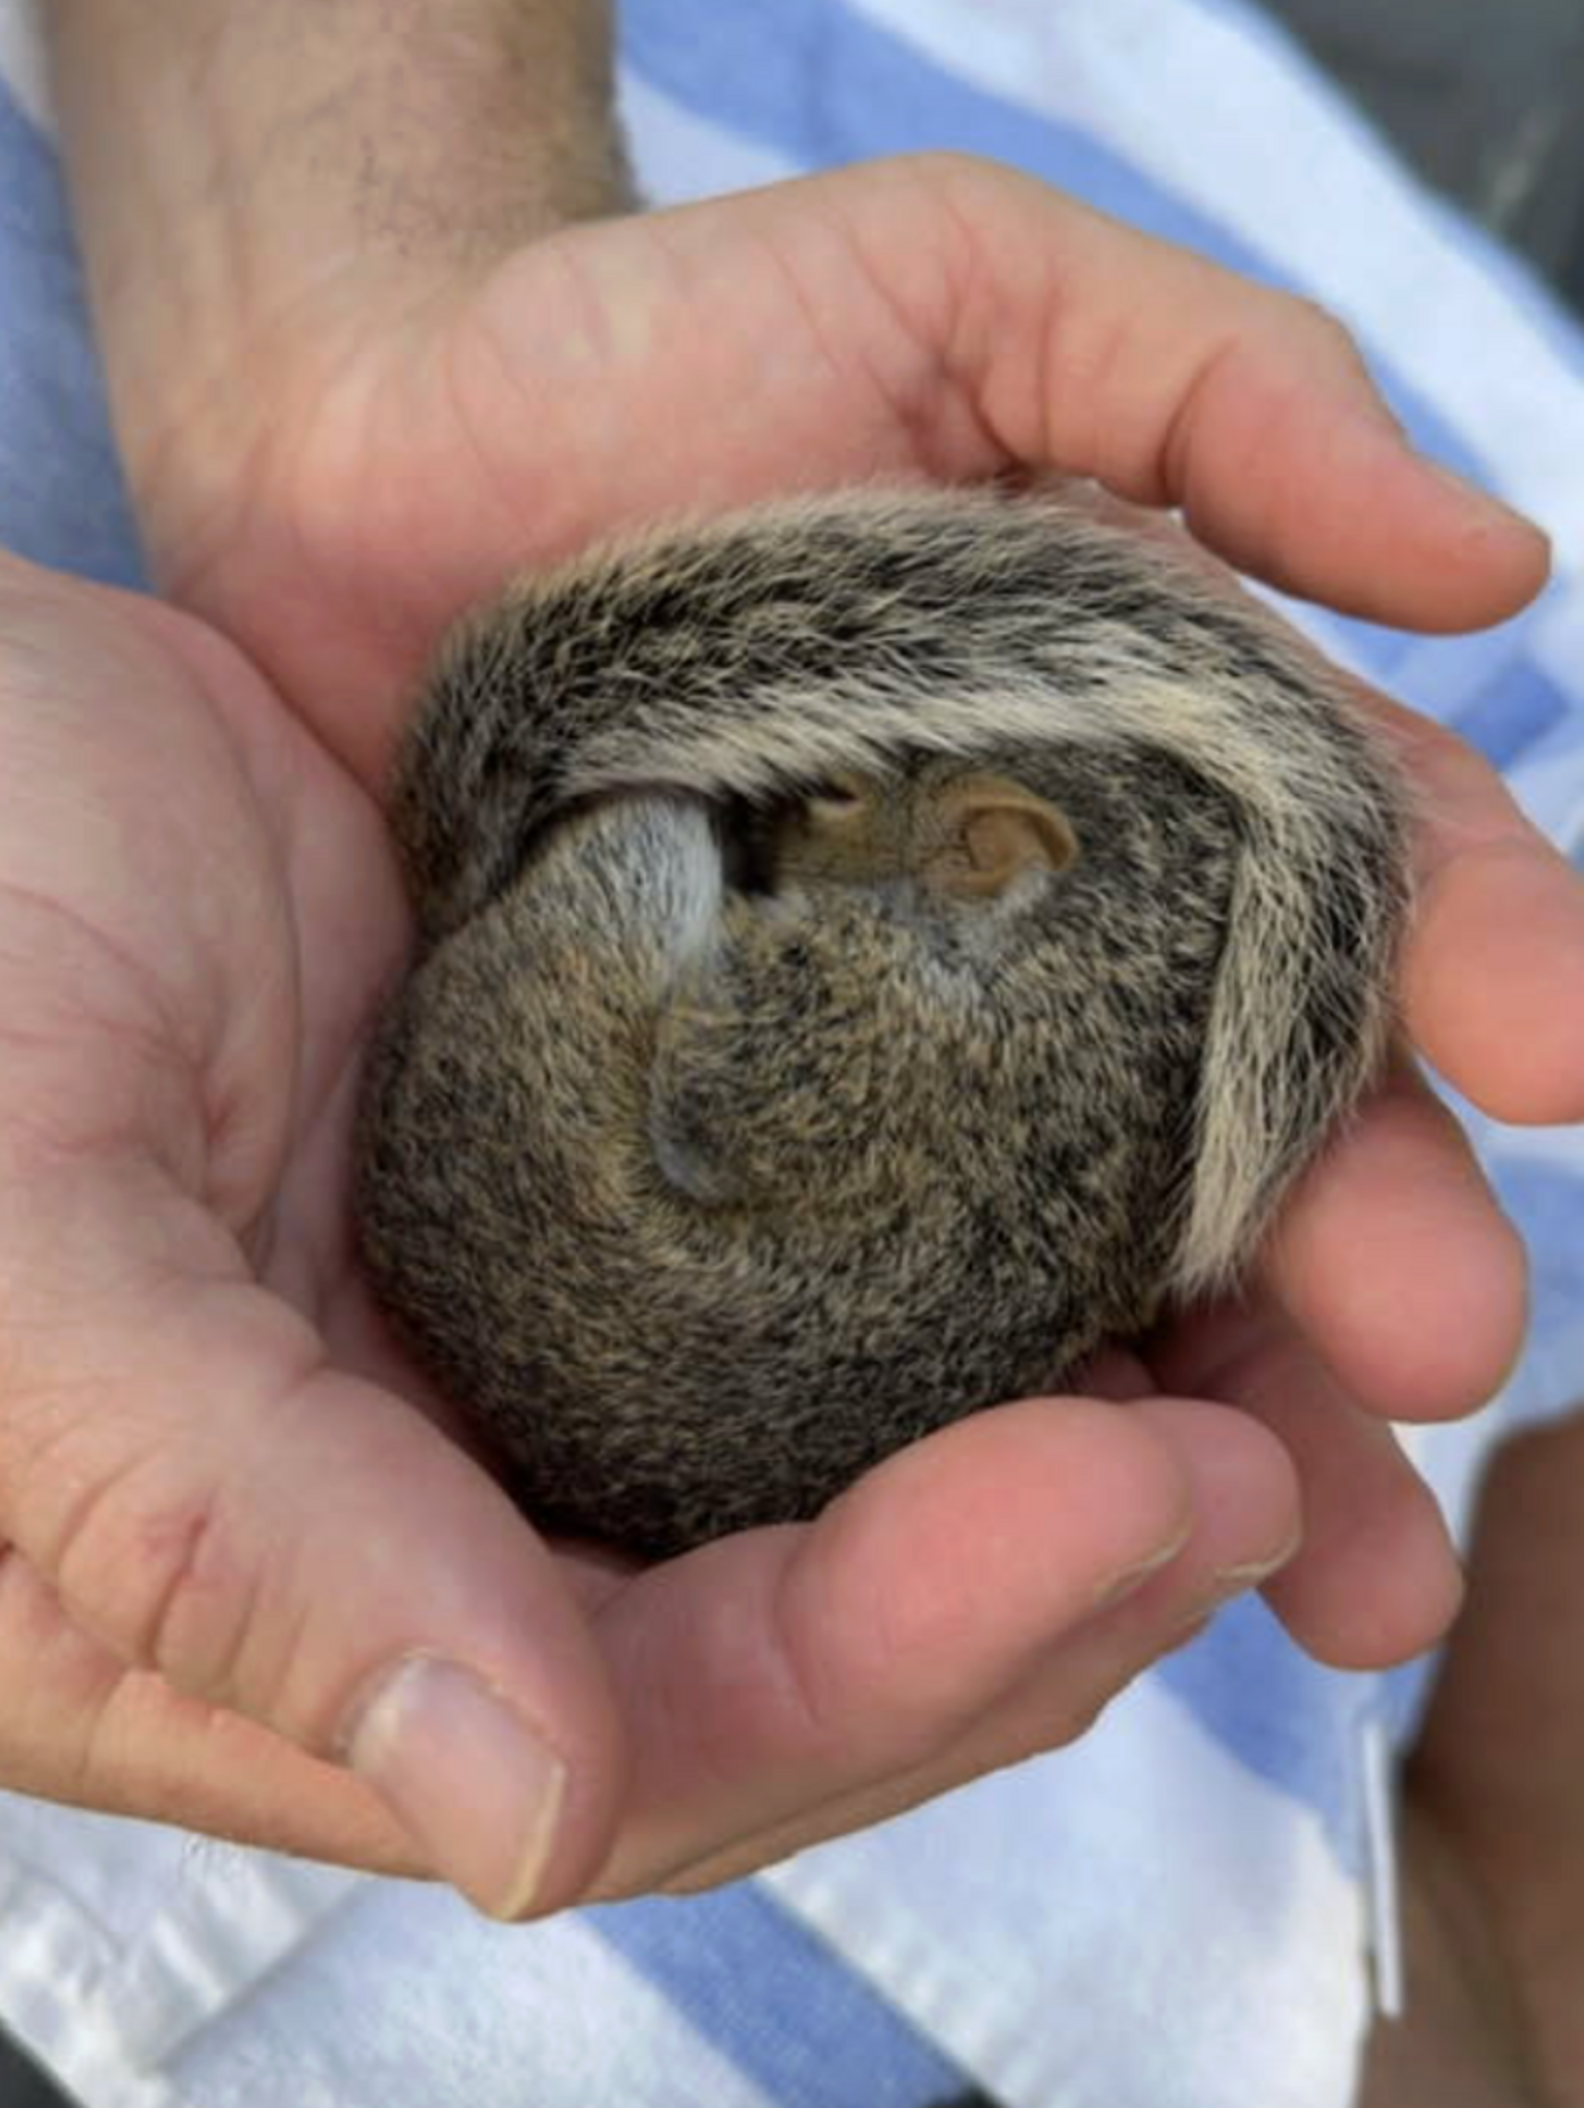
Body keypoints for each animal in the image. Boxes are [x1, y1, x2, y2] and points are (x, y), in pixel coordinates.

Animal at [354, 481, 1411, 1559]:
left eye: (837, 788)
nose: (749, 821)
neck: (1101, 946)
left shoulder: (854, 1022)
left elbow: (715, 1091)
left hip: (628, 863)